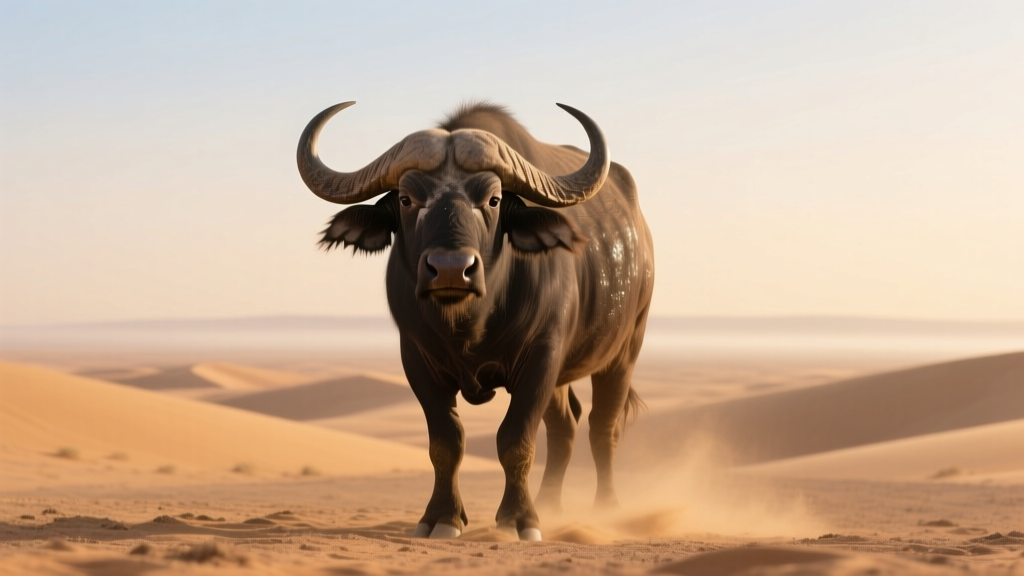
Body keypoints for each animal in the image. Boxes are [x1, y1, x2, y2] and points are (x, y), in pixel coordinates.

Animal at [296, 101, 654, 541]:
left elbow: (515, 439)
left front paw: (519, 520)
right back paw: (551, 505)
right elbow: (446, 443)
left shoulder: (541, 357)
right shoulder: (417, 360)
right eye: (406, 198)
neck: (470, 324)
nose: (451, 269)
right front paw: (442, 517)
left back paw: (606, 509)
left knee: (602, 427)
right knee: (564, 428)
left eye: (494, 199)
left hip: (624, 350)